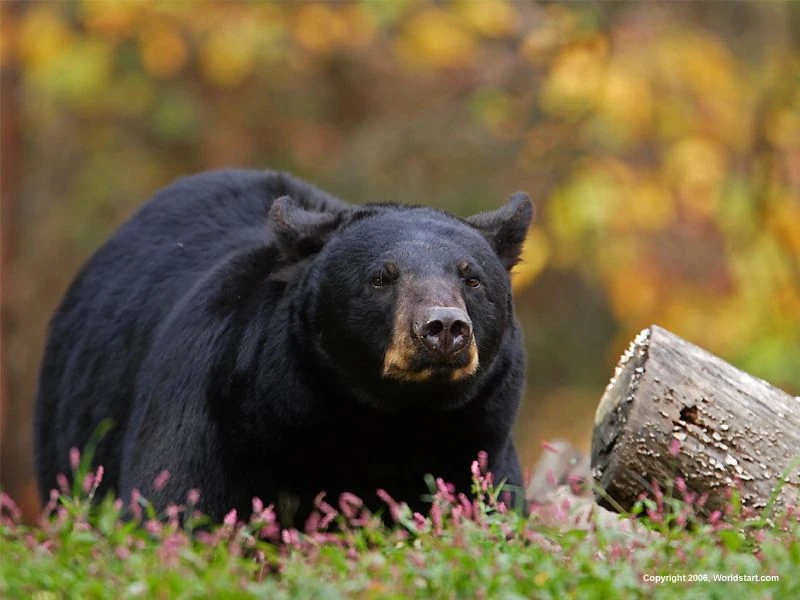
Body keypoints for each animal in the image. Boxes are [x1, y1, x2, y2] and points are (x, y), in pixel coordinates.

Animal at [34, 169, 533, 526]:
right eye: (381, 277)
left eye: (471, 278)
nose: (443, 327)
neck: (386, 418)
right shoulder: (216, 407)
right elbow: (180, 499)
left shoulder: (476, 441)